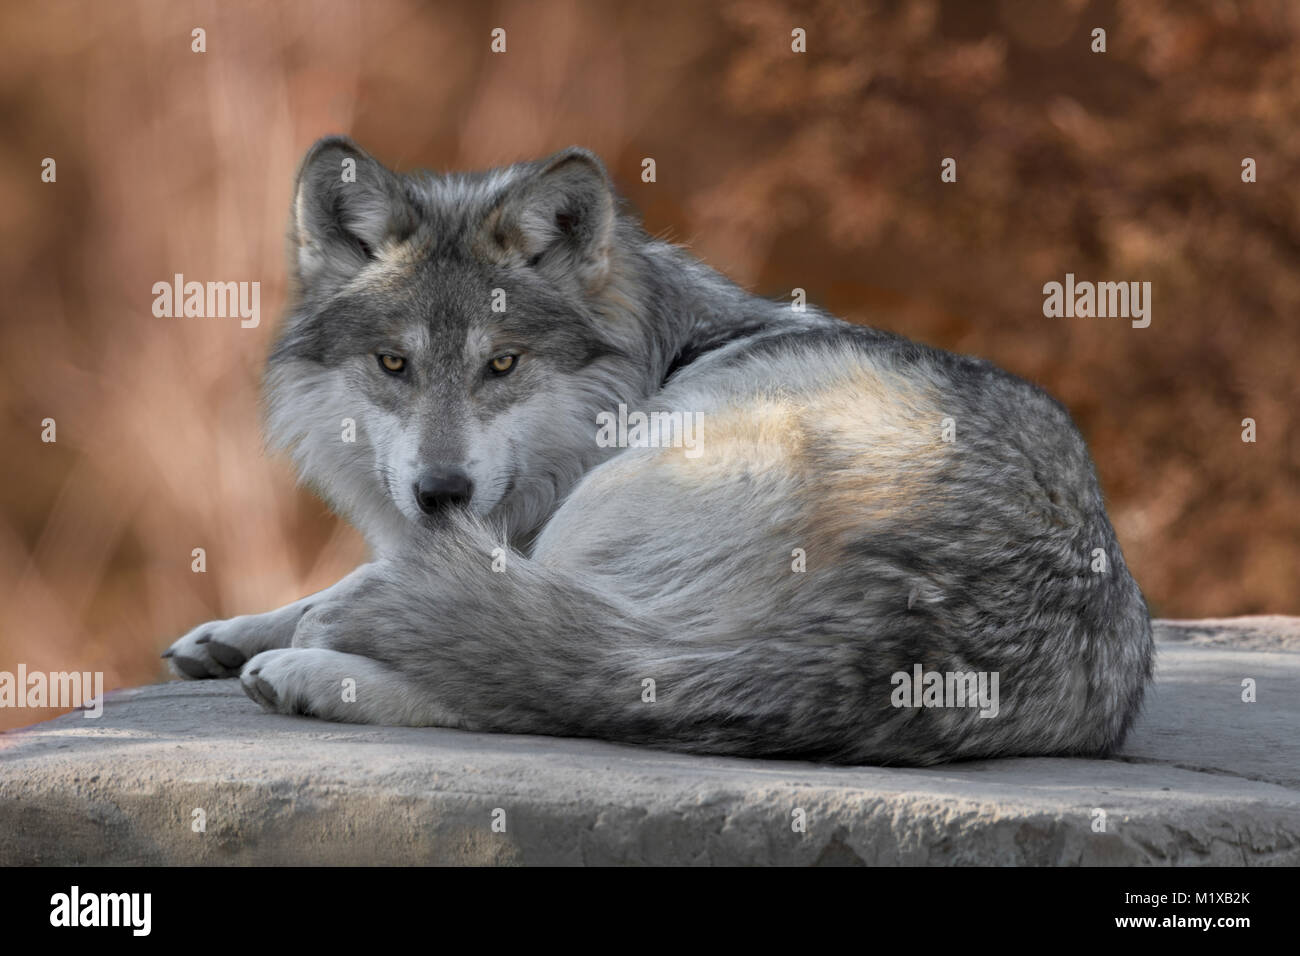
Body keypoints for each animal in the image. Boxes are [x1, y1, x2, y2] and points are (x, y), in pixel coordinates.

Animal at [163, 137, 1153, 765]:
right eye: (393, 364)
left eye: (503, 363)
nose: (441, 493)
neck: (657, 354)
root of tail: (914, 625)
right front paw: (224, 632)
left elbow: (375, 593)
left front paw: (291, 632)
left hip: (623, 509)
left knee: (541, 690)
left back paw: (308, 674)